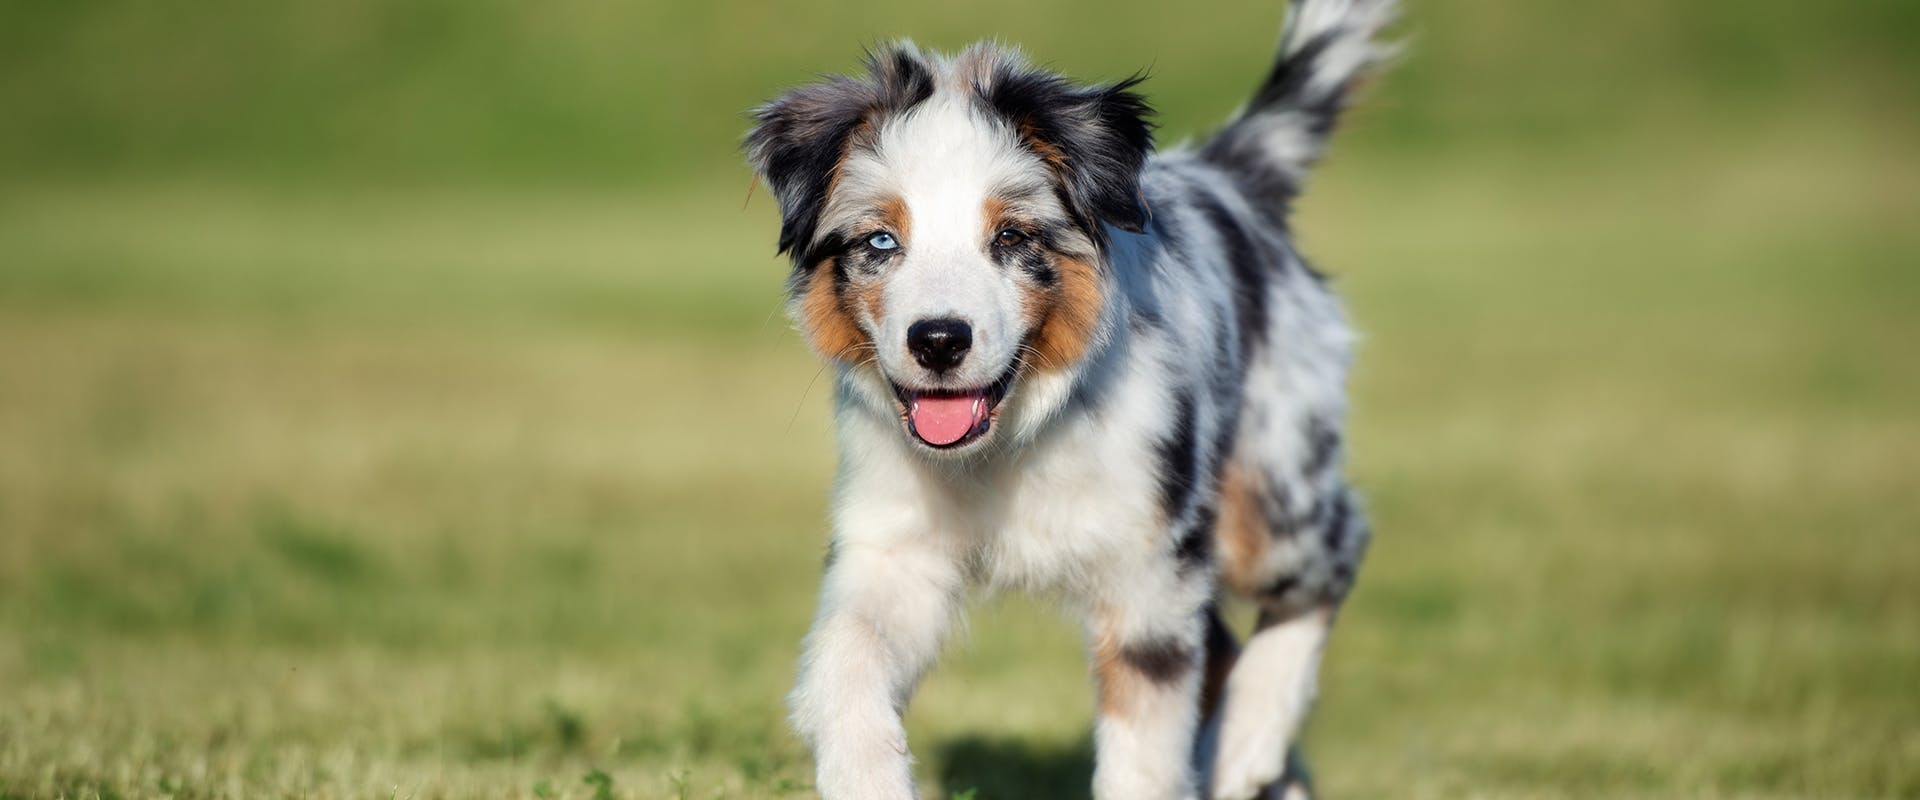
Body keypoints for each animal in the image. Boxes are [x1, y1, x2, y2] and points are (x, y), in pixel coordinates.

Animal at [744, 3, 1397, 794]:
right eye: (880, 242)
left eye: (1011, 236)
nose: (939, 340)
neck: (1006, 448)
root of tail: (1230, 175)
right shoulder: (893, 549)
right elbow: (846, 663)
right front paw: (866, 775)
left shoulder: (1147, 575)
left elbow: (1144, 754)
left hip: (1267, 486)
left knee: (1335, 552)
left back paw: (1247, 739)